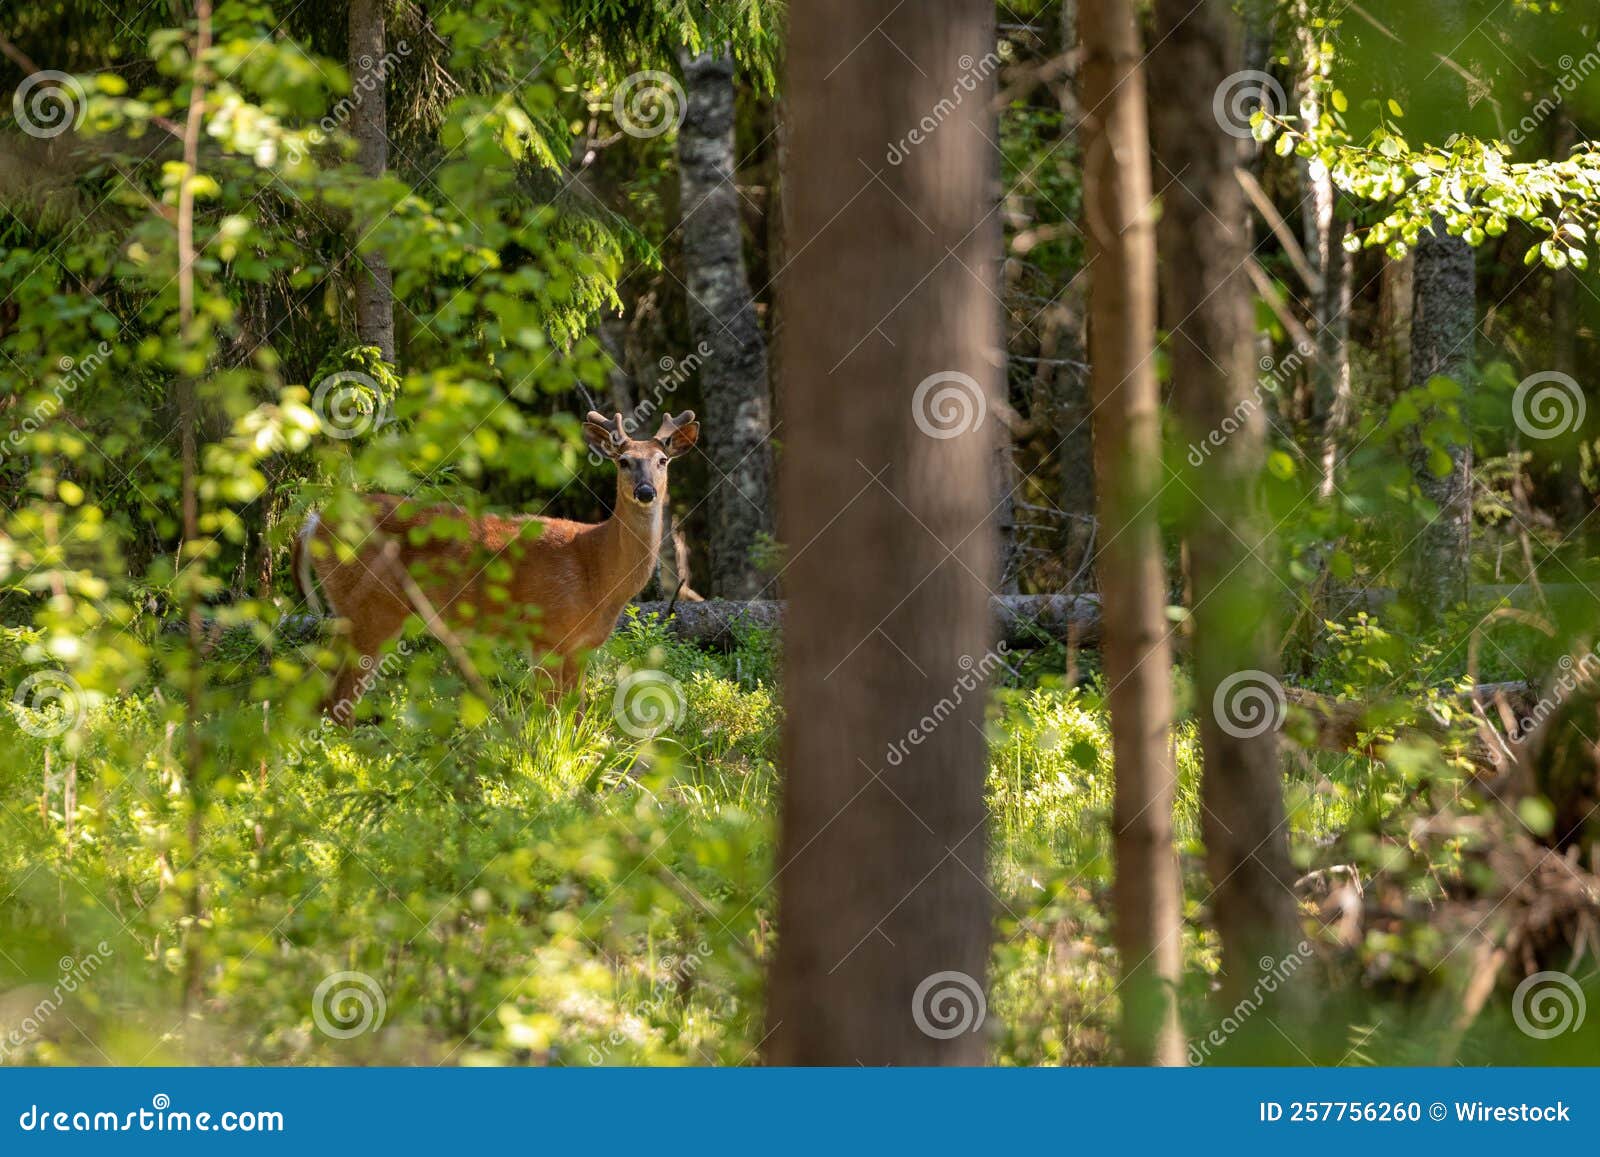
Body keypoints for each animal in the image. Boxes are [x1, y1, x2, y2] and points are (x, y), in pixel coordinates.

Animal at [291, 410, 699, 722]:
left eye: (662, 461)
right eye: (623, 461)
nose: (645, 491)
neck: (596, 569)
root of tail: (315, 522)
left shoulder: (581, 647)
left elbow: (576, 715)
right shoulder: (546, 635)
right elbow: (551, 715)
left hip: (351, 612)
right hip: (372, 609)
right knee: (338, 699)